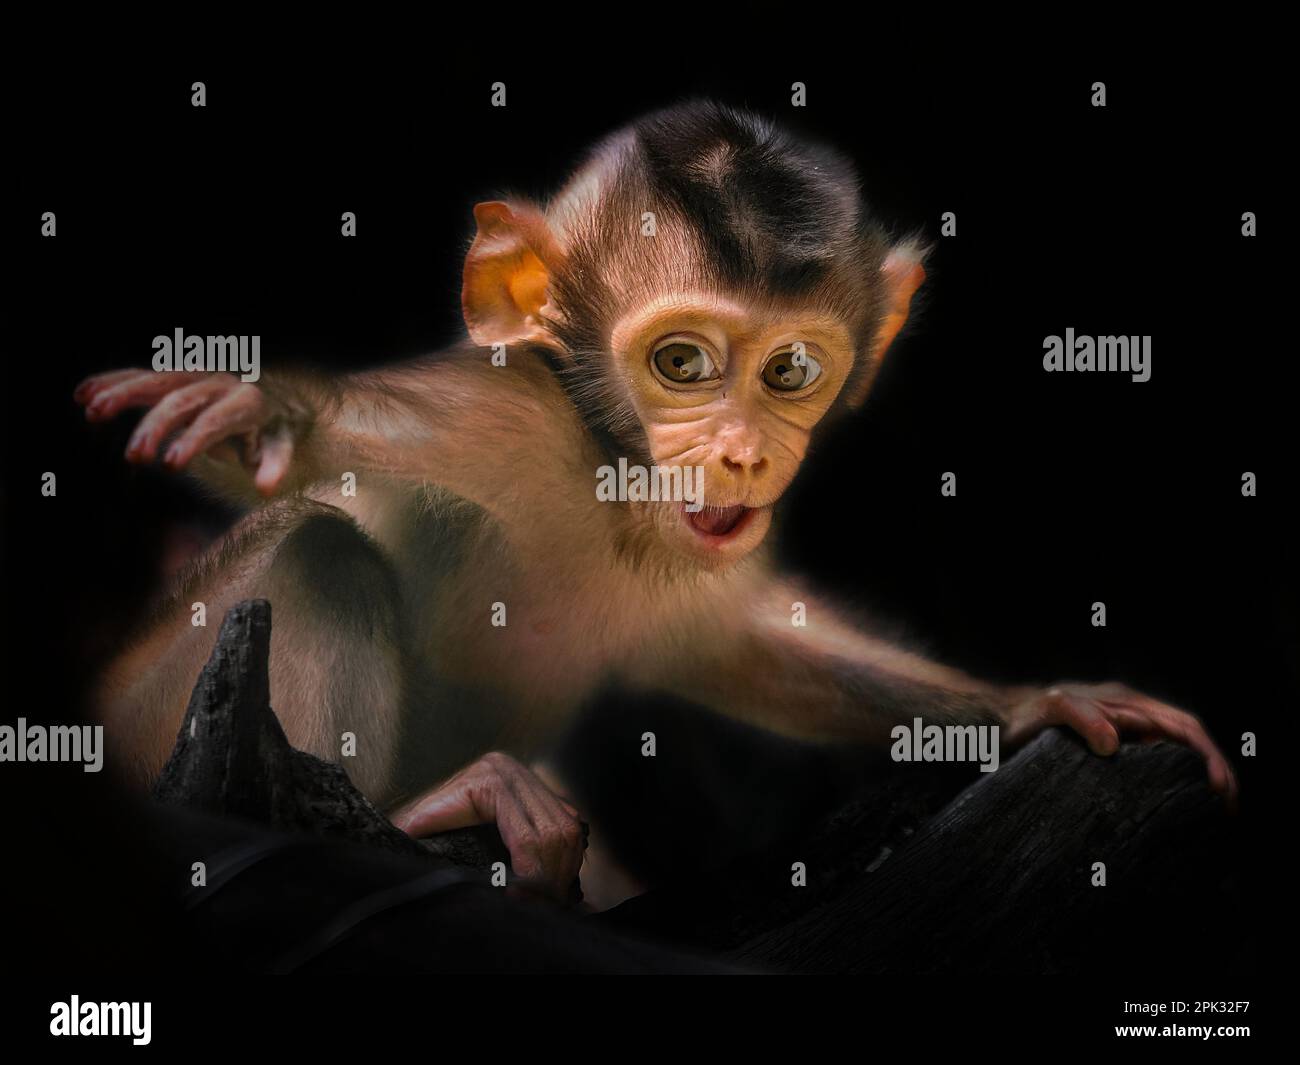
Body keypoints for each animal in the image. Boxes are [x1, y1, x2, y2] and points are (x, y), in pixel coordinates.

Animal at [75, 101, 1236, 903]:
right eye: (682, 362)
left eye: (789, 371)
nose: (740, 455)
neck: (616, 486)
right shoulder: (511, 418)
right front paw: (260, 412)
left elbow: (732, 643)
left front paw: (1033, 703)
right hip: (147, 721)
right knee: (317, 546)